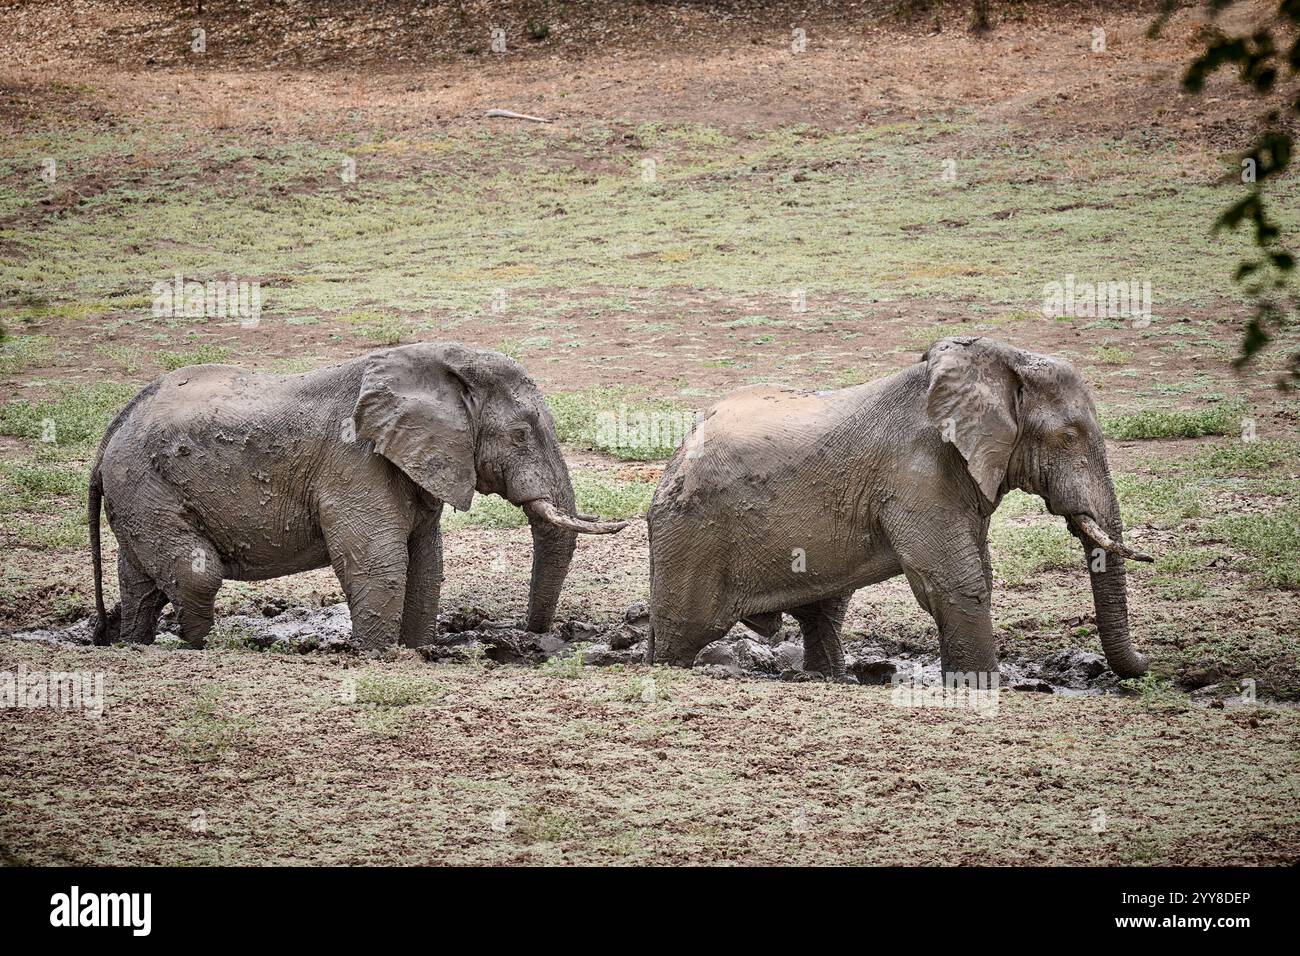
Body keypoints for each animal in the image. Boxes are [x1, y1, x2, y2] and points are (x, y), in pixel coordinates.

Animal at [88, 342, 629, 650]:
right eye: (520, 435)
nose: (537, 640)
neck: (440, 368)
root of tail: (112, 429)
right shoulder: (355, 461)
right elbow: (379, 563)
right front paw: (376, 655)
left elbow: (426, 564)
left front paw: (417, 652)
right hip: (145, 484)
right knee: (195, 574)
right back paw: (191, 649)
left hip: (138, 493)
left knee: (141, 585)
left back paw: (132, 645)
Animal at [645, 336, 1153, 681]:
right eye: (1069, 436)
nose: (1147, 664)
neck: (997, 365)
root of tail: (675, 455)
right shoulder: (917, 477)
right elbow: (956, 582)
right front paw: (985, 687)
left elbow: (976, 574)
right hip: (690, 537)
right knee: (685, 632)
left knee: (825, 613)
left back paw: (829, 678)